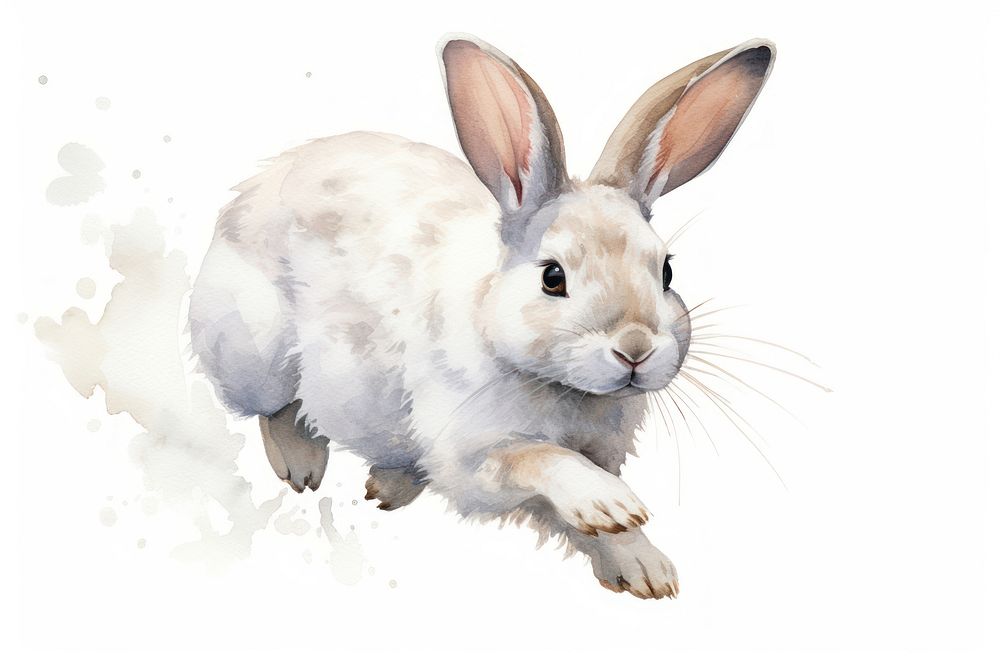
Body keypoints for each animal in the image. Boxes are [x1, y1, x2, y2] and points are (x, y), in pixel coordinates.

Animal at [188, 34, 775, 599]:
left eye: (667, 272)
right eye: (553, 277)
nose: (635, 348)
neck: (562, 387)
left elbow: (591, 525)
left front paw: (646, 570)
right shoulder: (471, 453)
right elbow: (535, 459)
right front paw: (611, 506)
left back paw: (389, 485)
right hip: (255, 350)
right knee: (276, 408)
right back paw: (303, 466)